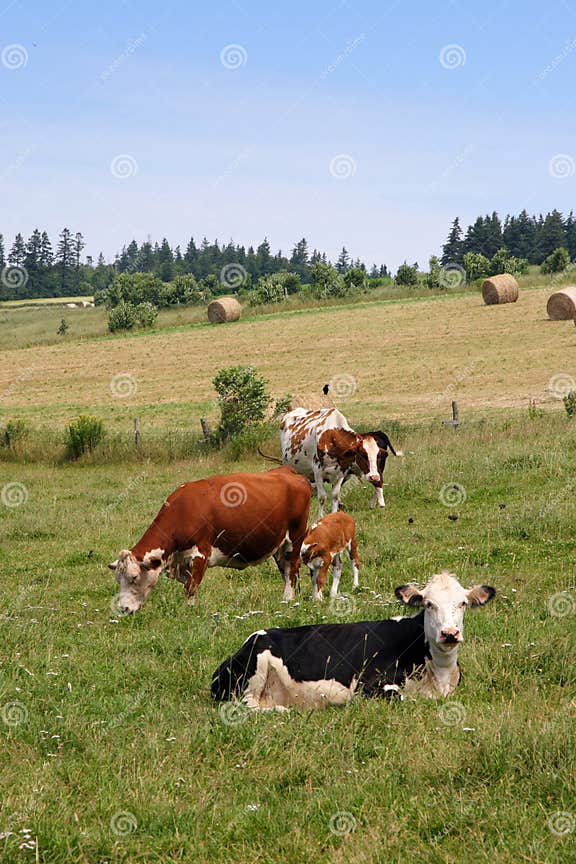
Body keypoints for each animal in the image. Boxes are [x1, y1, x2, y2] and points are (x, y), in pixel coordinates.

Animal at [108, 467, 311, 613]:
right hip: (279, 544)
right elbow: (188, 584)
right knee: (285, 569)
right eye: (118, 579)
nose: (123, 609)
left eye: (134, 577)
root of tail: (288, 471)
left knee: (293, 566)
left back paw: (287, 598)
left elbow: (190, 588)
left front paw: (189, 611)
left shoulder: (201, 554)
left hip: (295, 536)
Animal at [211, 572, 495, 708]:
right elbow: (404, 698)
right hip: (253, 670)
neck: (439, 672)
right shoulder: (367, 686)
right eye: (429, 604)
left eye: (462, 604)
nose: (449, 633)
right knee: (247, 706)